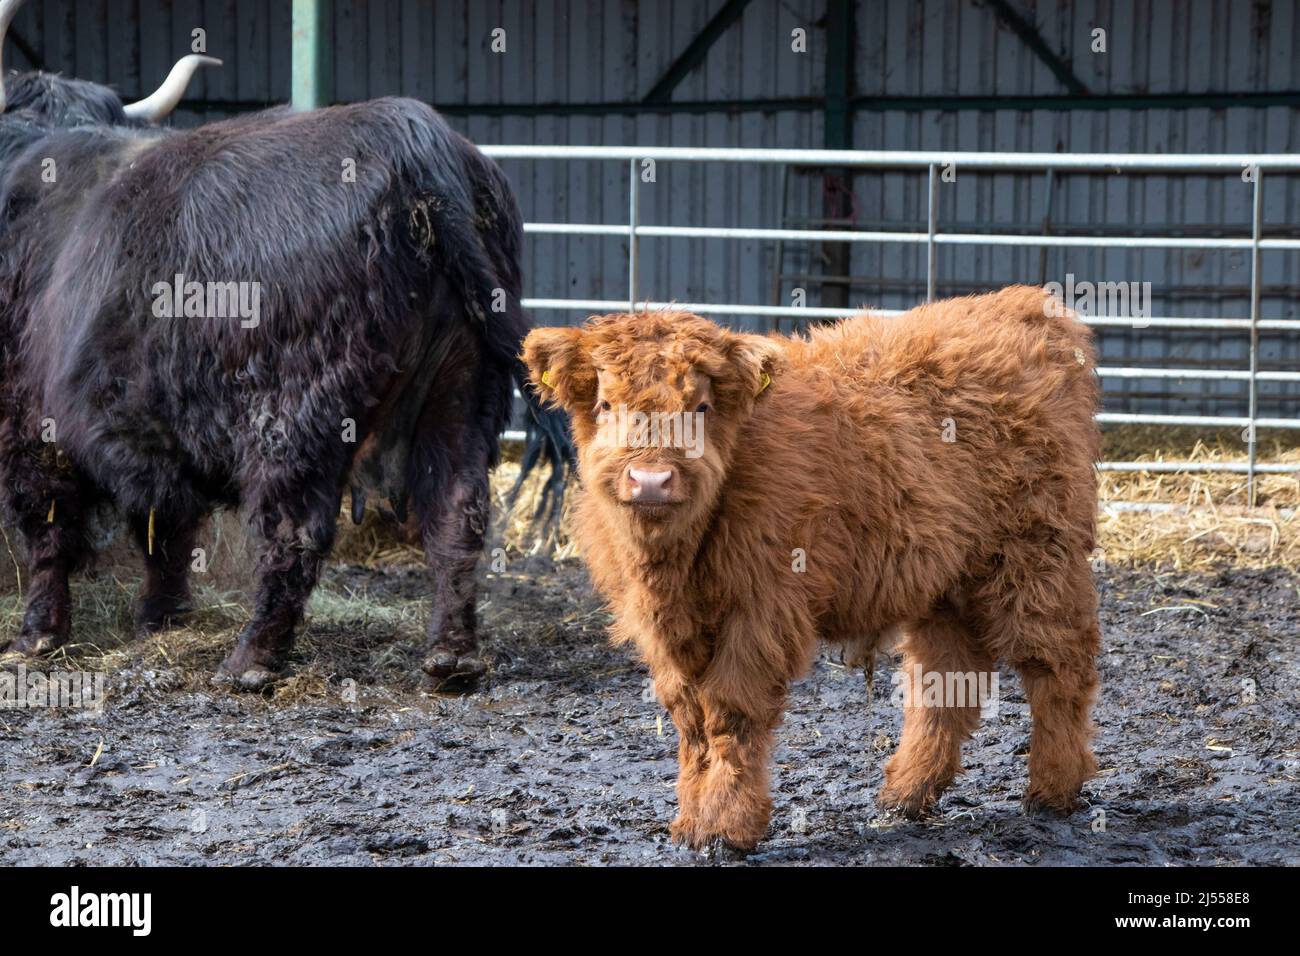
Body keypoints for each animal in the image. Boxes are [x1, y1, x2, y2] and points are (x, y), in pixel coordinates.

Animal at [0, 0, 570, 689]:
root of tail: (415, 137)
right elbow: (165, 525)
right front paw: (161, 618)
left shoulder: (32, 419)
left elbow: (51, 528)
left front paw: (36, 636)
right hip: (463, 387)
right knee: (456, 512)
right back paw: (450, 656)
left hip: (294, 418)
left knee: (293, 532)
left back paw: (250, 660)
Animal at [522, 285, 1102, 851]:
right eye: (605, 403)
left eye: (701, 406)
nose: (650, 480)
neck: (674, 565)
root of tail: (1024, 305)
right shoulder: (662, 629)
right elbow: (691, 720)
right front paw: (689, 824)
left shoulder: (763, 607)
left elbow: (732, 712)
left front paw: (726, 828)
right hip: (944, 581)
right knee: (946, 680)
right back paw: (905, 795)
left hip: (1038, 557)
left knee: (1058, 665)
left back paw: (1053, 790)